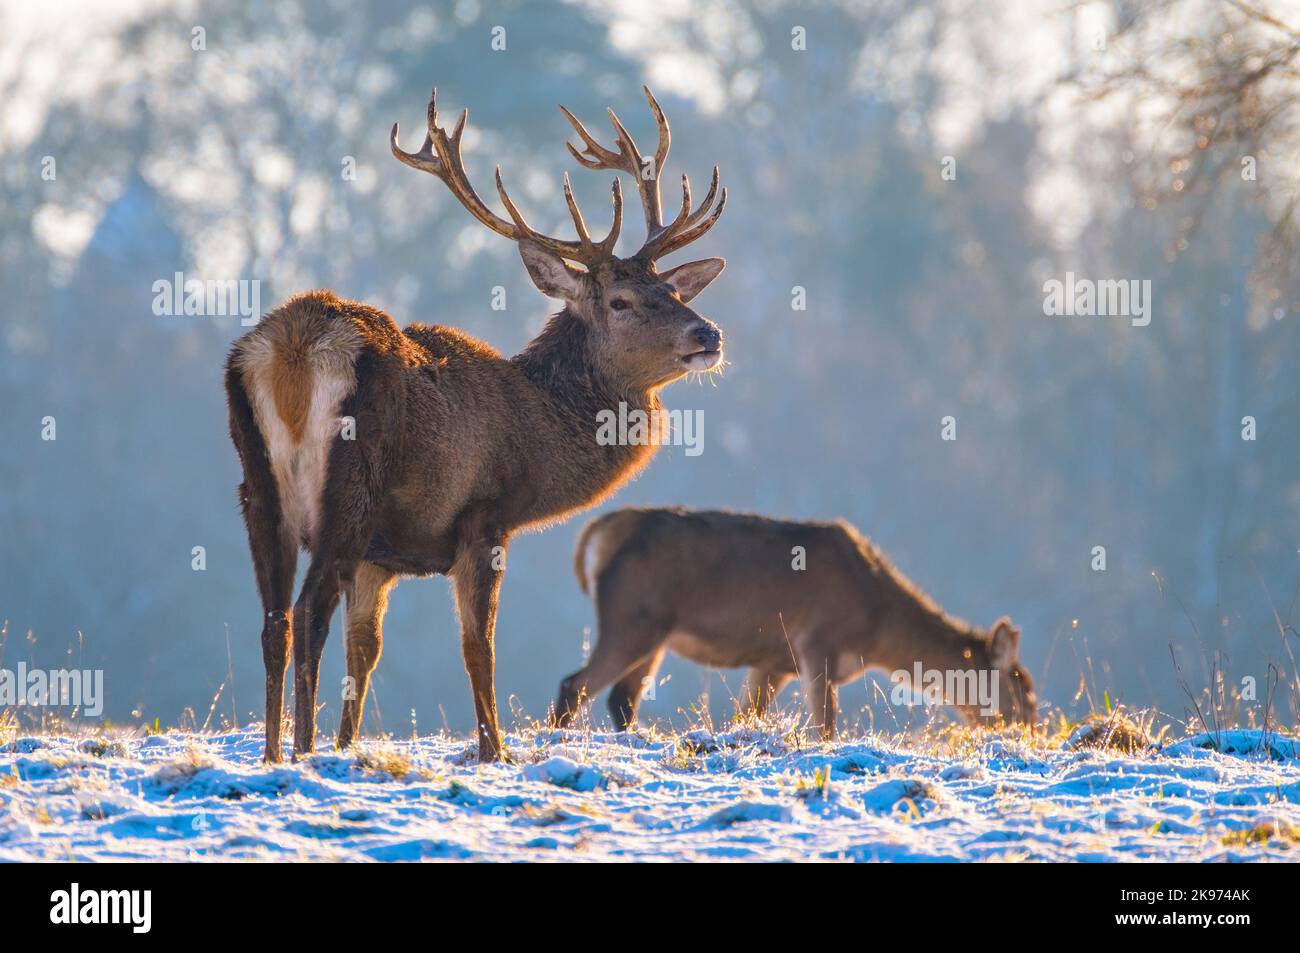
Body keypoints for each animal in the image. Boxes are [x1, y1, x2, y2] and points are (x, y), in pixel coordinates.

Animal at [225, 86, 728, 763]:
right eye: (621, 302)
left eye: (672, 292)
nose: (708, 334)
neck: (538, 428)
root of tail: (293, 348)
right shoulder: (484, 513)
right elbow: (477, 646)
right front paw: (496, 751)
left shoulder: (381, 558)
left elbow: (366, 651)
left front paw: (348, 745)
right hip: (346, 490)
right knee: (307, 614)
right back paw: (300, 751)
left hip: (258, 490)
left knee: (274, 620)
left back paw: (276, 754)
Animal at [559, 508, 1037, 737]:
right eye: (1023, 690)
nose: (1032, 732)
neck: (878, 629)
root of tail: (599, 535)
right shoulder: (816, 641)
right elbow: (824, 724)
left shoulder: (775, 661)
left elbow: (745, 715)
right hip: (631, 617)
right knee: (574, 684)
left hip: (653, 633)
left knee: (621, 697)